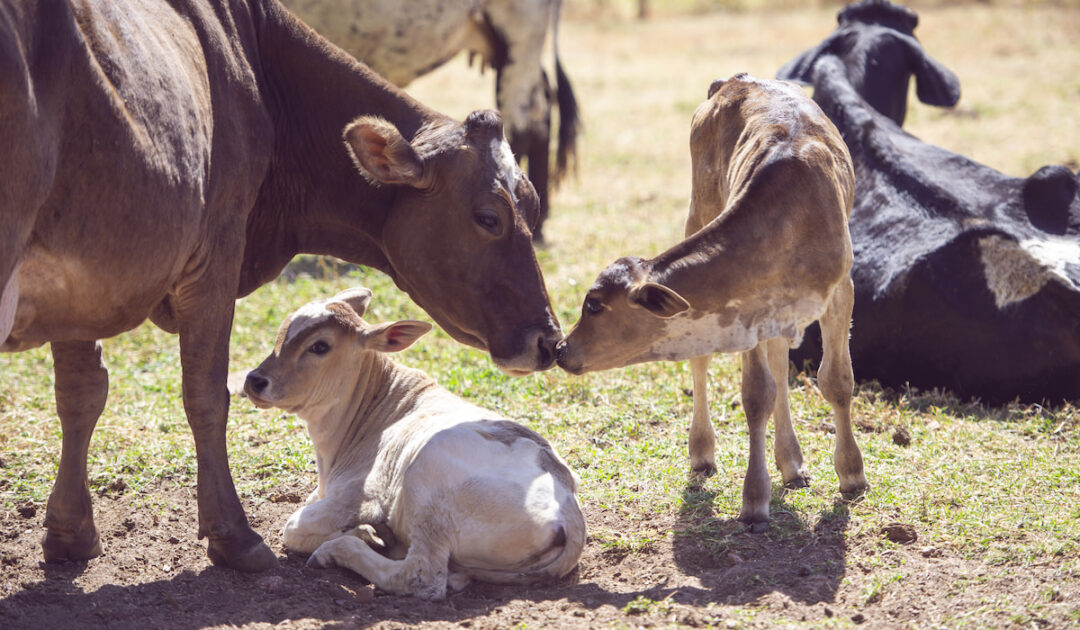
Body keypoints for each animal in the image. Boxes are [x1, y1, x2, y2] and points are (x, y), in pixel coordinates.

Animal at [243, 288, 585, 599]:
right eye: (281, 333)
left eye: (319, 346)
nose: (254, 380)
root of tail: (569, 511)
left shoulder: (359, 498)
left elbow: (292, 528)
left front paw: (362, 533)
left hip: (427, 482)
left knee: (421, 576)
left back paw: (341, 549)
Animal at [555, 75, 868, 530]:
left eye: (594, 304)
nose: (560, 348)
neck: (789, 219)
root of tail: (734, 80)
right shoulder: (746, 307)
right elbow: (756, 394)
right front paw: (754, 499)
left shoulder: (841, 288)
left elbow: (837, 380)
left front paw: (851, 474)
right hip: (697, 207)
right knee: (708, 361)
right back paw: (705, 452)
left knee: (779, 362)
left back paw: (792, 463)